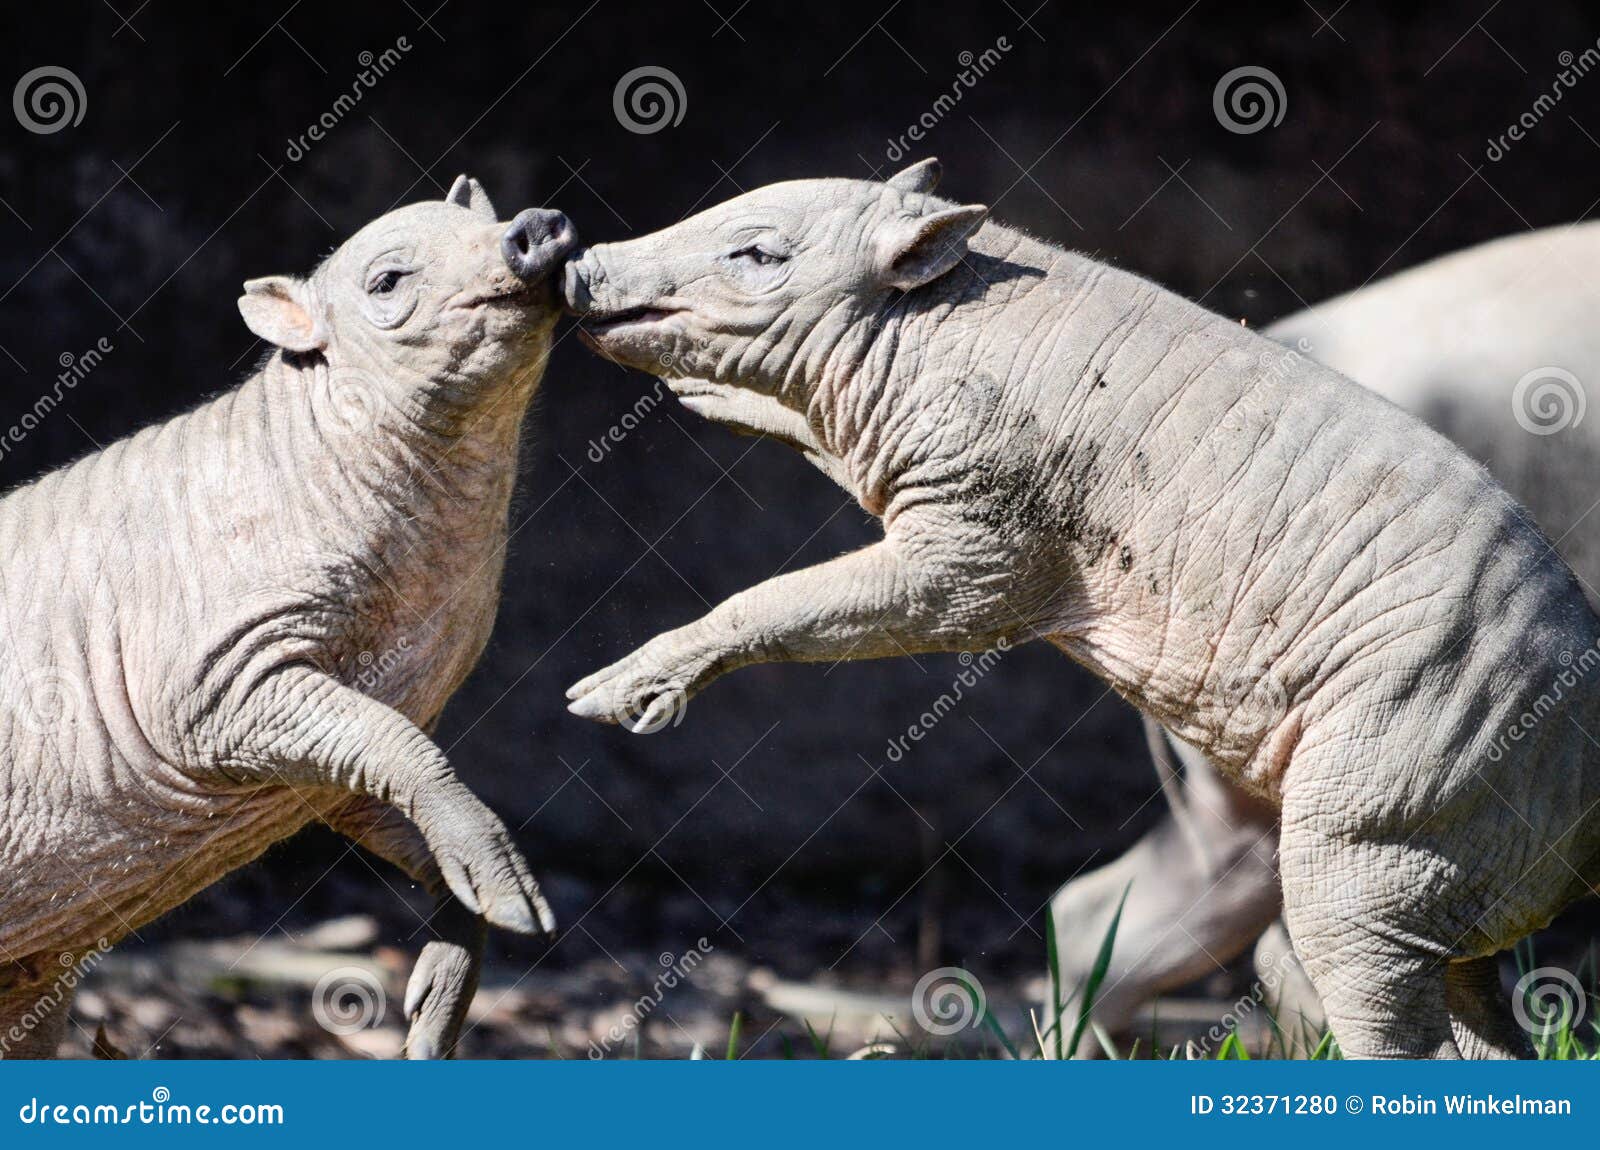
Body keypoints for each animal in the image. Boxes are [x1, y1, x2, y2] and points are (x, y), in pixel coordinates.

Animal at [0, 176, 575, 1059]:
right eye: (387, 281)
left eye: (490, 220)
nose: (538, 228)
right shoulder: (215, 683)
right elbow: (406, 752)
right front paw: (511, 889)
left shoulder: (332, 761)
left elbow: (403, 776)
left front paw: (440, 994)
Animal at [563, 158, 1600, 1058]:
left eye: (755, 254)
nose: (573, 262)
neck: (921, 325)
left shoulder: (980, 534)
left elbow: (827, 599)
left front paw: (610, 695)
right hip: (1313, 819)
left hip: (1386, 812)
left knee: (1379, 1001)